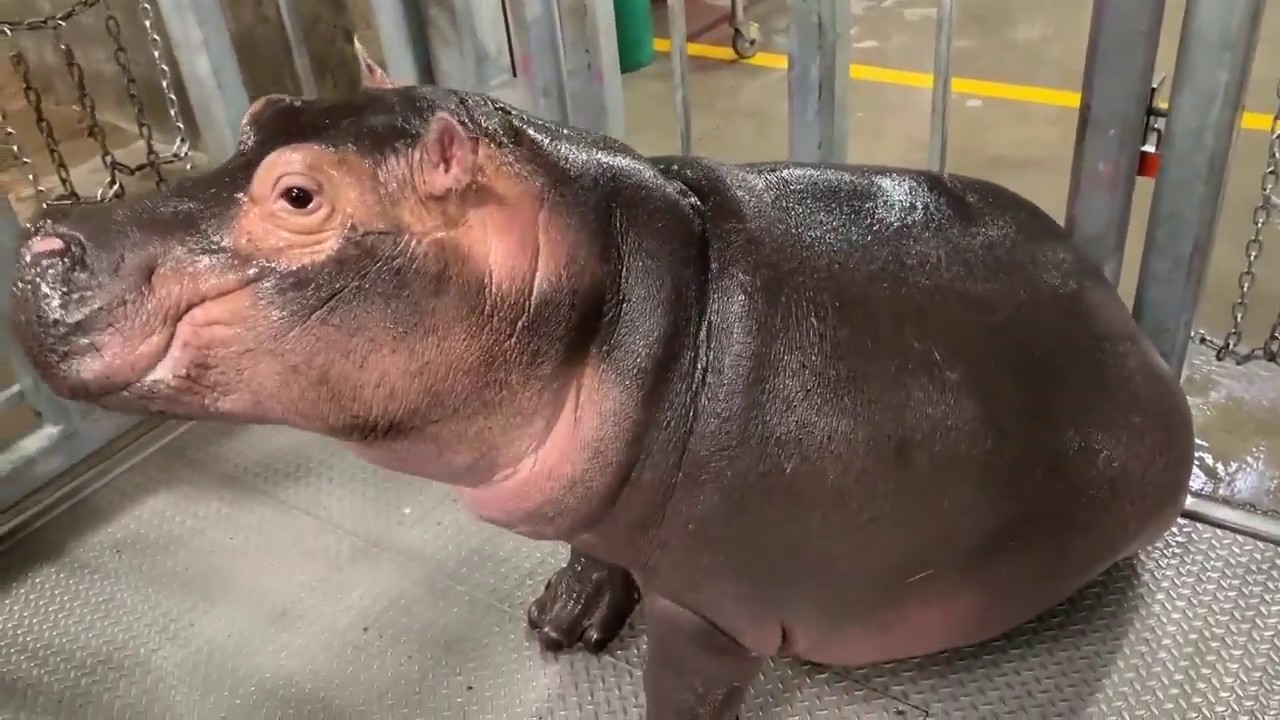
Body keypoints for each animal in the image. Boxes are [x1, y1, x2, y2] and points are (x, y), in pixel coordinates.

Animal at [9, 45, 1194, 719]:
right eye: (260, 110)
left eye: (299, 194)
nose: (44, 243)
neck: (632, 295)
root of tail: (1135, 345)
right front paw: (562, 615)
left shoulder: (713, 611)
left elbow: (684, 690)